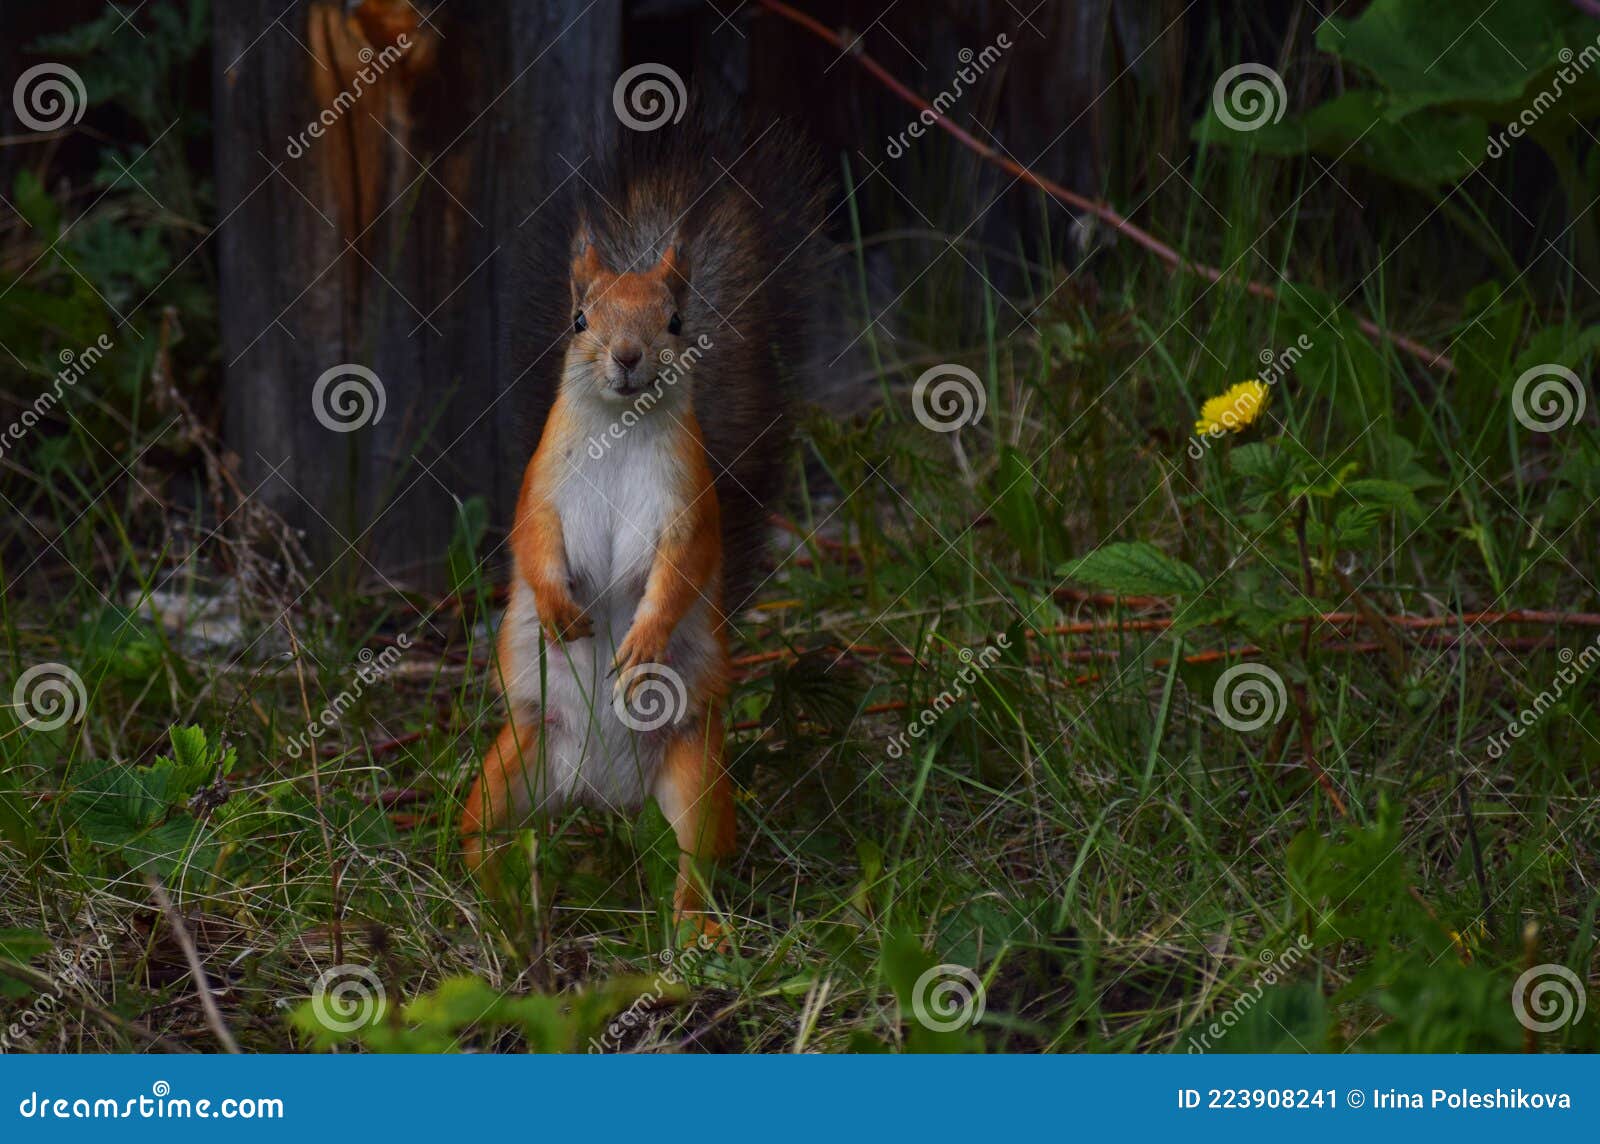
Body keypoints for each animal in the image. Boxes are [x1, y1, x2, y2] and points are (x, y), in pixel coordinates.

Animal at [461, 118, 827, 940]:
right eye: (578, 320)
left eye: (676, 322)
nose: (628, 358)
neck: (621, 429)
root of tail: (605, 794)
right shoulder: (541, 490)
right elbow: (534, 545)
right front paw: (562, 611)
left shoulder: (687, 505)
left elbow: (682, 567)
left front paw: (643, 641)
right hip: (518, 761)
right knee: (479, 833)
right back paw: (501, 913)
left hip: (695, 775)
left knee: (697, 861)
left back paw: (694, 930)